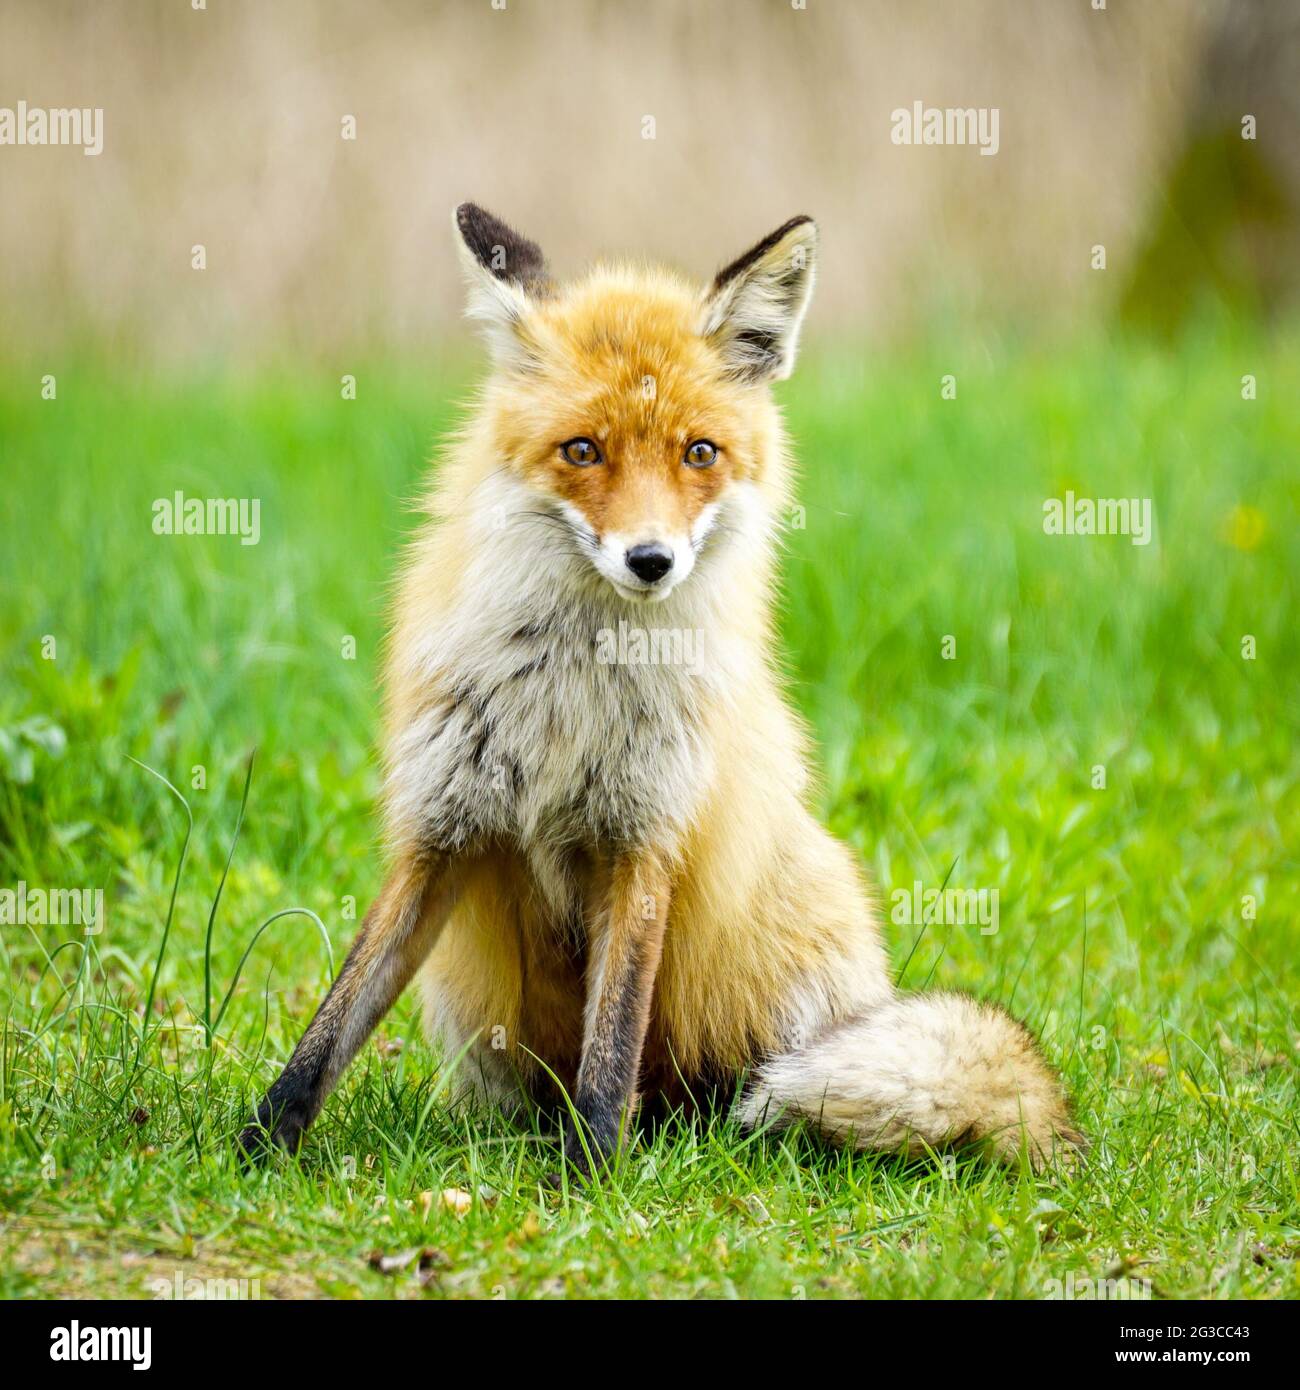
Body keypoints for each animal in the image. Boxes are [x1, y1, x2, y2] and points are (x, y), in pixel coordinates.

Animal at [238, 203, 1084, 1175]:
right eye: (583, 451)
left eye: (699, 453)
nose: (651, 560)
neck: (571, 698)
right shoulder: (440, 830)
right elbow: (331, 1026)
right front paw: (254, 1147)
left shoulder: (645, 838)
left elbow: (611, 1047)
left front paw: (590, 1177)